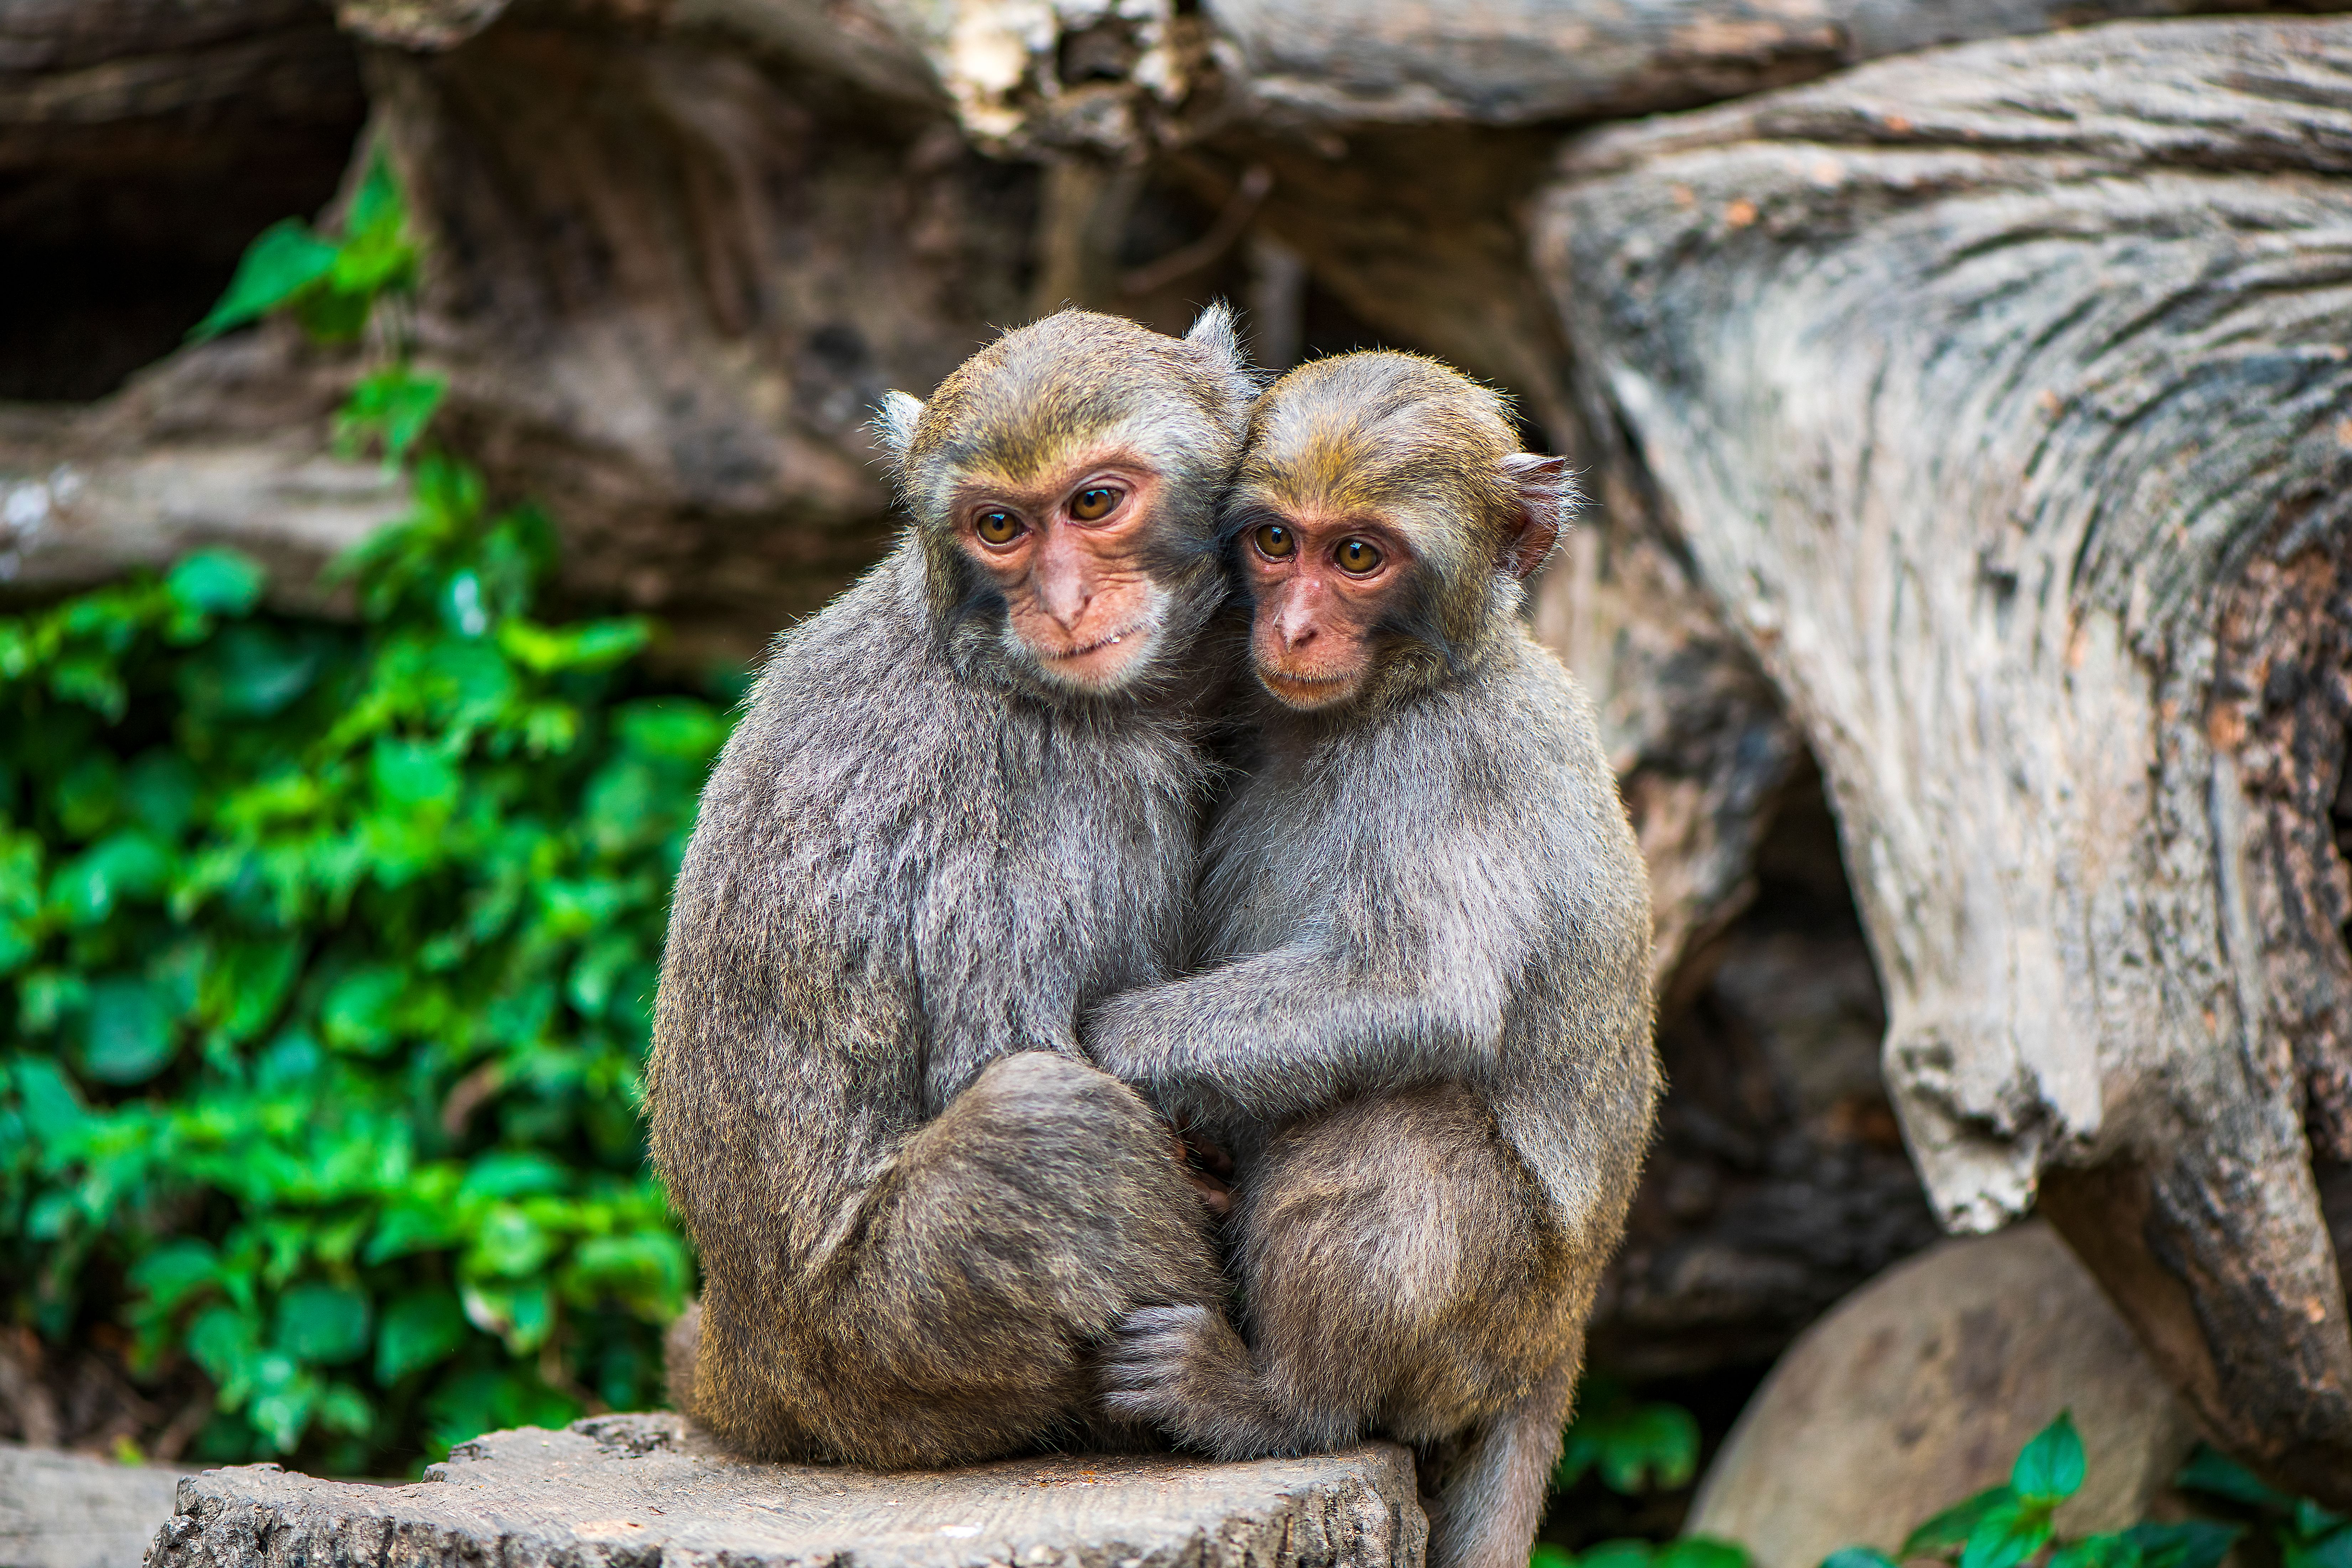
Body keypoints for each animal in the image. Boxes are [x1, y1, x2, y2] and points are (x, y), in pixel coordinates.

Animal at [644, 306, 1257, 1469]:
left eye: (1094, 502)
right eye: (999, 526)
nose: (1063, 603)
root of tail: (750, 1354)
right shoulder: (1036, 795)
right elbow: (1015, 1049)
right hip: (894, 1352)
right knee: (1043, 1121)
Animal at [1081, 350, 1660, 1568]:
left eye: (1357, 556)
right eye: (1274, 541)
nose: (1295, 628)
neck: (1404, 689)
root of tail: (1562, 1333)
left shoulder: (1450, 765)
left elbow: (1418, 994)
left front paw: (1098, 1044)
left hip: (1487, 1323)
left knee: (1391, 1123)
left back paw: (1278, 1403)